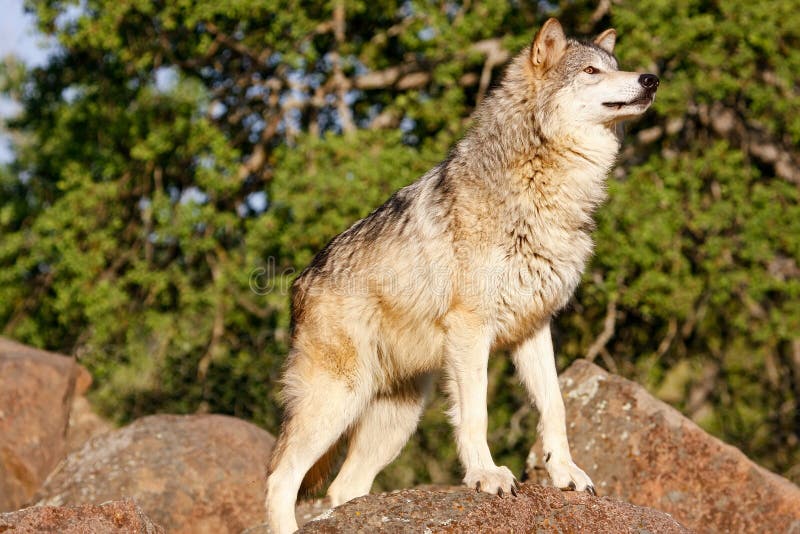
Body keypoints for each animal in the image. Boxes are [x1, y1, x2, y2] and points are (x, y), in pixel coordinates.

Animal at [265, 18, 658, 533]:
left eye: (616, 66)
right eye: (591, 71)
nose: (651, 79)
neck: (542, 183)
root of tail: (299, 286)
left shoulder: (534, 327)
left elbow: (555, 406)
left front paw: (566, 474)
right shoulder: (472, 329)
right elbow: (477, 414)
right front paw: (486, 476)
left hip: (397, 419)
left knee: (343, 488)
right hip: (336, 401)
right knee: (279, 479)